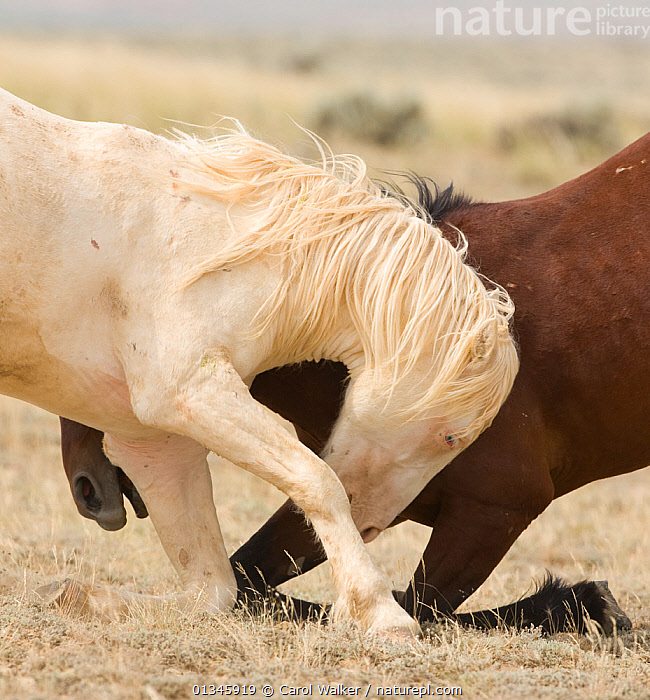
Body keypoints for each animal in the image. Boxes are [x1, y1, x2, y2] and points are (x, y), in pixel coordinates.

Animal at [0, 89, 518, 636]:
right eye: (450, 438)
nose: (373, 524)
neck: (227, 251)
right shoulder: (190, 392)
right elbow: (318, 481)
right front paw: (379, 613)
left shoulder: (155, 442)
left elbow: (210, 589)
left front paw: (79, 596)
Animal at [58, 133, 650, 635]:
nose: (89, 492)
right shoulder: (369, 496)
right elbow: (257, 579)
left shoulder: (493, 512)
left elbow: (414, 608)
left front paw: (585, 605)